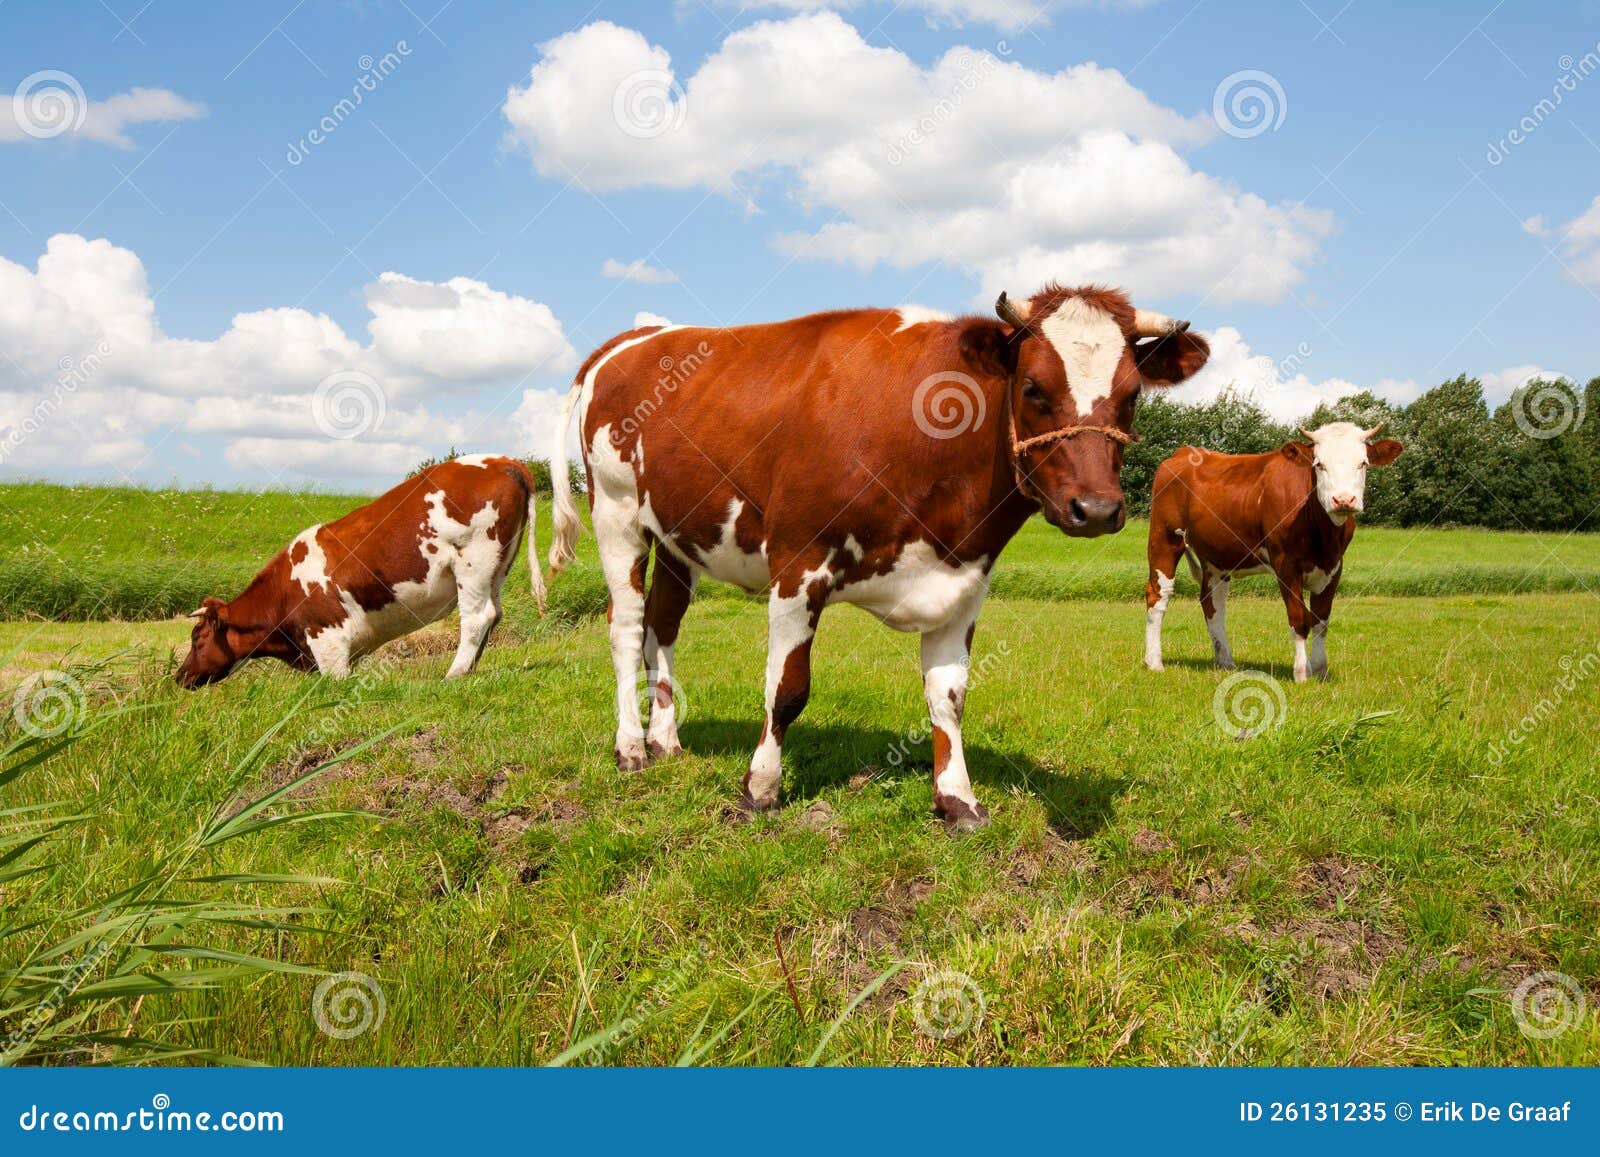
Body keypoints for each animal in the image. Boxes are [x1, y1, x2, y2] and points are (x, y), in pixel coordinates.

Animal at [176, 455, 543, 687]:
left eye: (197, 638)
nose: (179, 677)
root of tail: (504, 460)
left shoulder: (328, 640)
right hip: (498, 567)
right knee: (493, 614)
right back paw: (471, 667)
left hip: (473, 562)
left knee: (476, 617)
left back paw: (454, 674)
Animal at [547, 286, 1211, 831]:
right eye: (1033, 388)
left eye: (1131, 397)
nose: (1096, 509)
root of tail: (628, 340)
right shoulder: (798, 563)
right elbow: (786, 689)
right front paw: (760, 789)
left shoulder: (963, 582)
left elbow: (949, 696)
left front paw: (957, 800)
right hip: (617, 515)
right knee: (627, 626)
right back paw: (631, 747)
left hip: (676, 534)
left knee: (664, 624)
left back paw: (665, 739)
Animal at [1143, 422, 1403, 683]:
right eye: (1319, 464)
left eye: (1363, 463)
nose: (1343, 500)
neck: (1324, 536)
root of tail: (1183, 453)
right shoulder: (1286, 565)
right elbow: (1299, 619)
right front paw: (1302, 673)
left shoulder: (1334, 566)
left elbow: (1321, 620)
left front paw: (1321, 671)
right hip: (1164, 539)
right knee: (1158, 595)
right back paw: (1154, 662)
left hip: (1217, 557)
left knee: (1213, 603)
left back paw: (1226, 661)